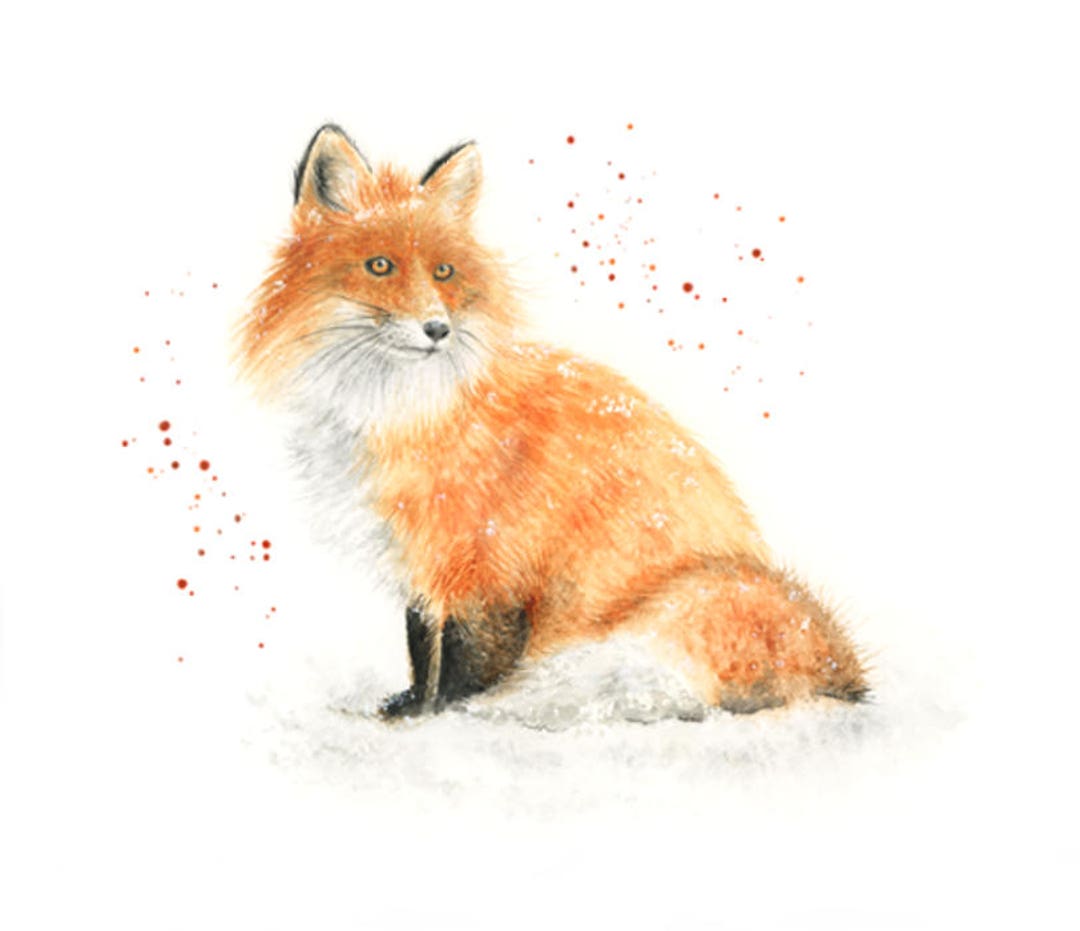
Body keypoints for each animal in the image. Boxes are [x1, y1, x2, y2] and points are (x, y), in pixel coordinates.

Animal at [237, 124, 868, 719]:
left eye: (443, 272)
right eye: (379, 266)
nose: (437, 329)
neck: (401, 409)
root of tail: (844, 671)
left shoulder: (486, 566)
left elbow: (464, 665)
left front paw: (441, 719)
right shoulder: (421, 565)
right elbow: (421, 648)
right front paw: (411, 707)